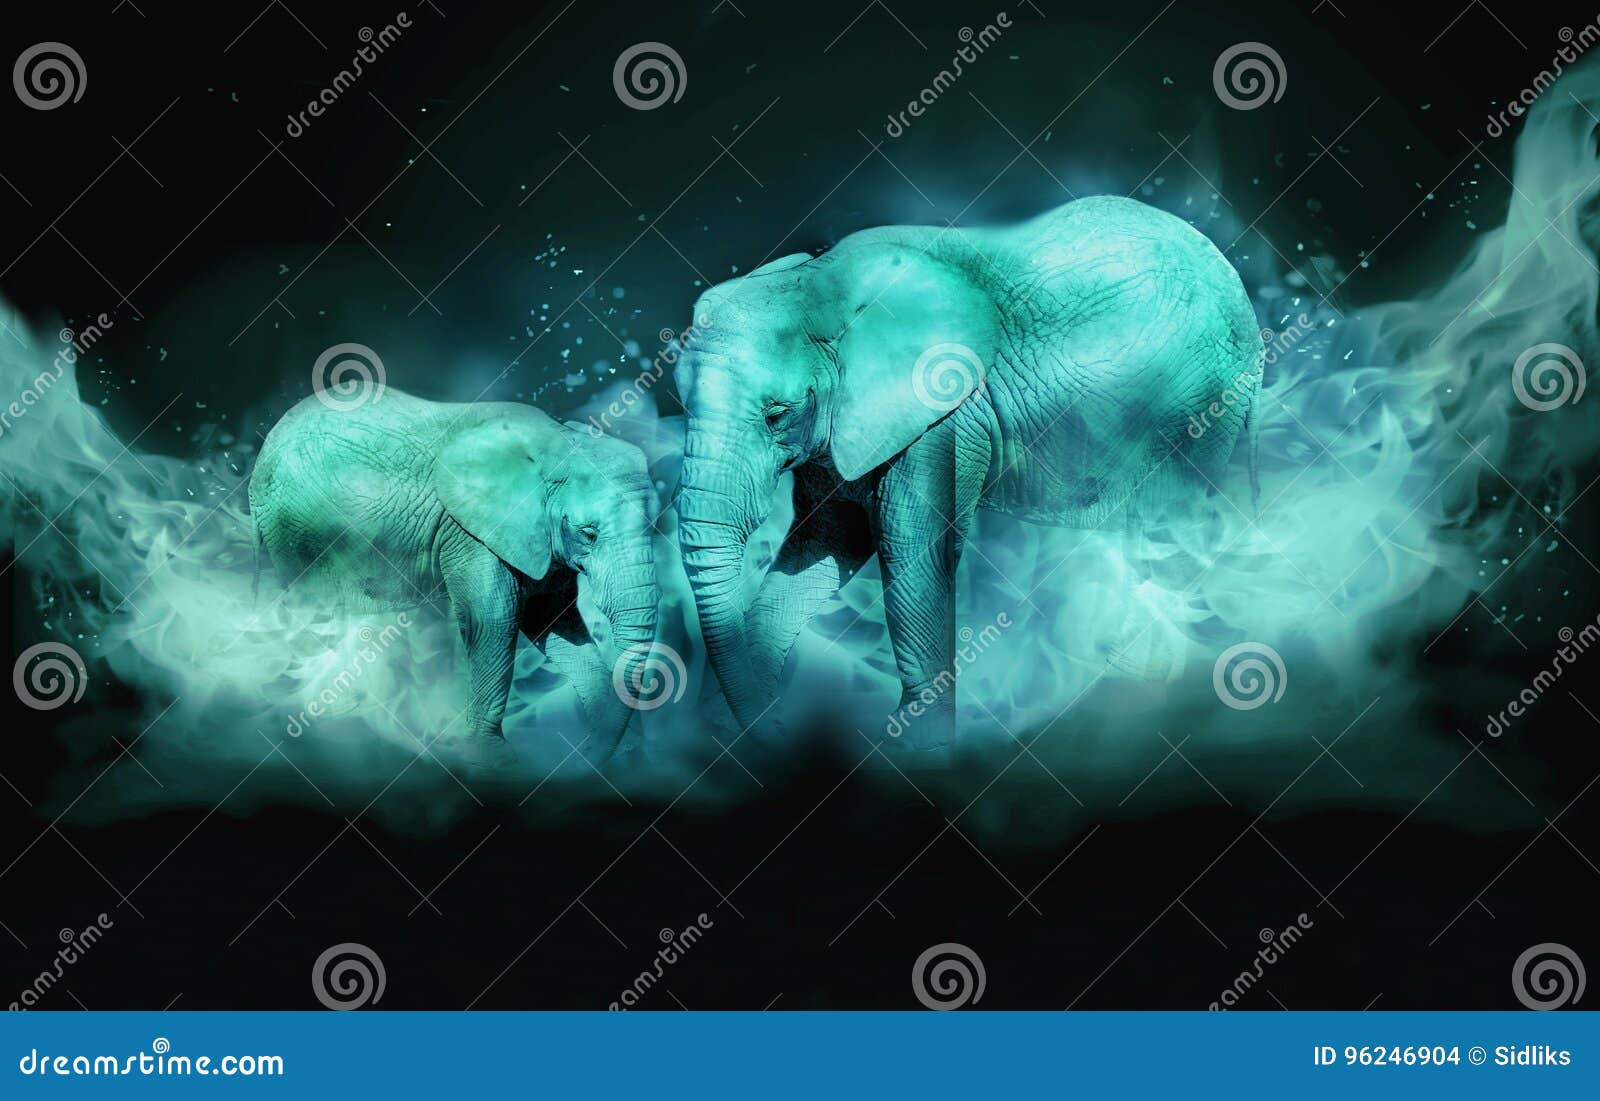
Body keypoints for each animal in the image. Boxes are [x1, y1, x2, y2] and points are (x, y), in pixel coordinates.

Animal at [249, 388, 662, 764]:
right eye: (588, 533)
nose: (584, 755)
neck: (558, 442)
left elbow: (554, 622)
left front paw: (614, 745)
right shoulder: (469, 532)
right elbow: (495, 620)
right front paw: (492, 758)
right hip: (298, 531)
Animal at [674, 195, 1260, 747]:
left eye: (777, 414)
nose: (782, 728)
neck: (821, 280)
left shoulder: (947, 414)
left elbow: (909, 546)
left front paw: (919, 746)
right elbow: (824, 540)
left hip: (1195, 410)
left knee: (1166, 537)